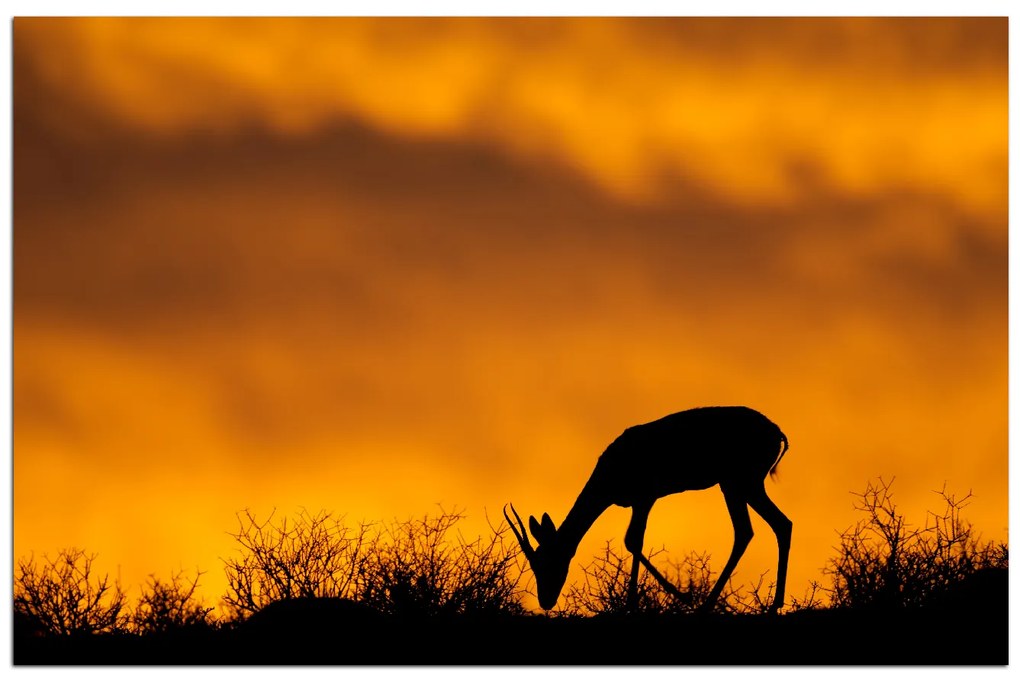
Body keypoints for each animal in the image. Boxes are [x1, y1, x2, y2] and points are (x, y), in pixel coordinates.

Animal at [505, 407, 791, 611]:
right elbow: (633, 541)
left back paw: (711, 605)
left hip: (740, 484)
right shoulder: (639, 502)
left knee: (760, 528)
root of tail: (776, 431)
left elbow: (632, 540)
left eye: (546, 560)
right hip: (737, 486)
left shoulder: (645, 498)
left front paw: (677, 598)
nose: (546, 601)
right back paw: (768, 604)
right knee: (765, 527)